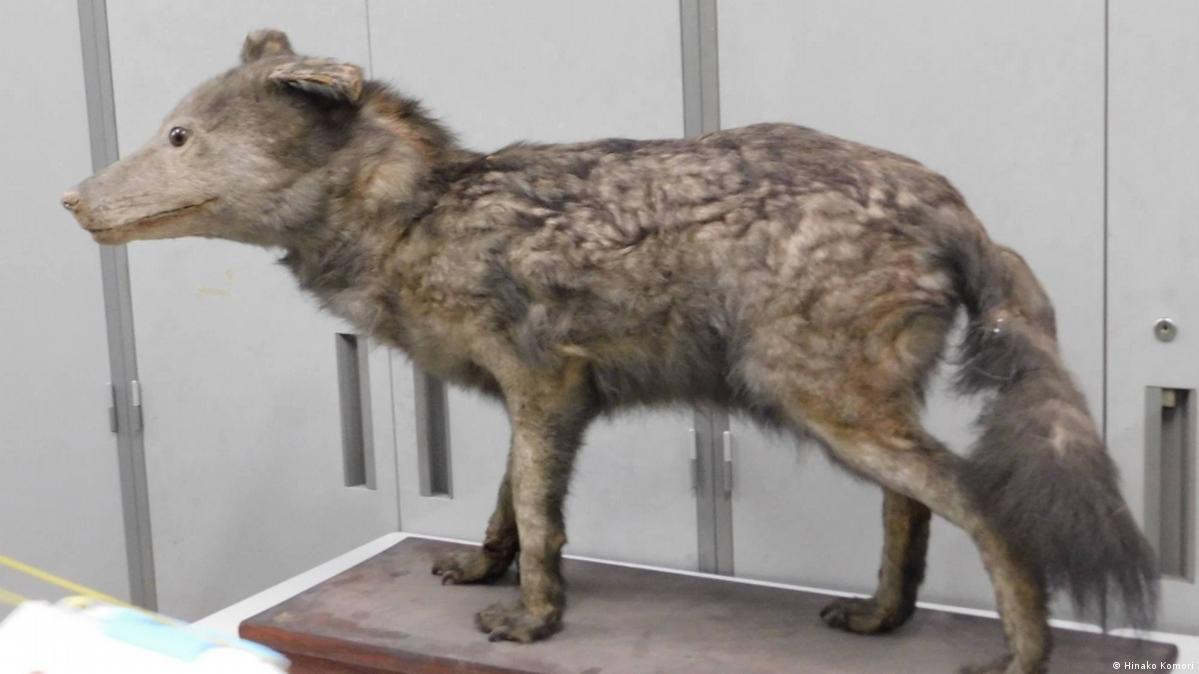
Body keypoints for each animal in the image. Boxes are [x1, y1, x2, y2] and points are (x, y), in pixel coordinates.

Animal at [63, 30, 1157, 673]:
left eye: (177, 137)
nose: (70, 199)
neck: (422, 212)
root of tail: (949, 203)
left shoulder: (545, 385)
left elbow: (542, 517)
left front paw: (531, 620)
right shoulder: (539, 397)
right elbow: (507, 504)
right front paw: (483, 569)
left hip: (829, 407)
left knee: (980, 502)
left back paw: (1021, 656)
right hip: (864, 413)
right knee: (912, 508)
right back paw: (881, 618)